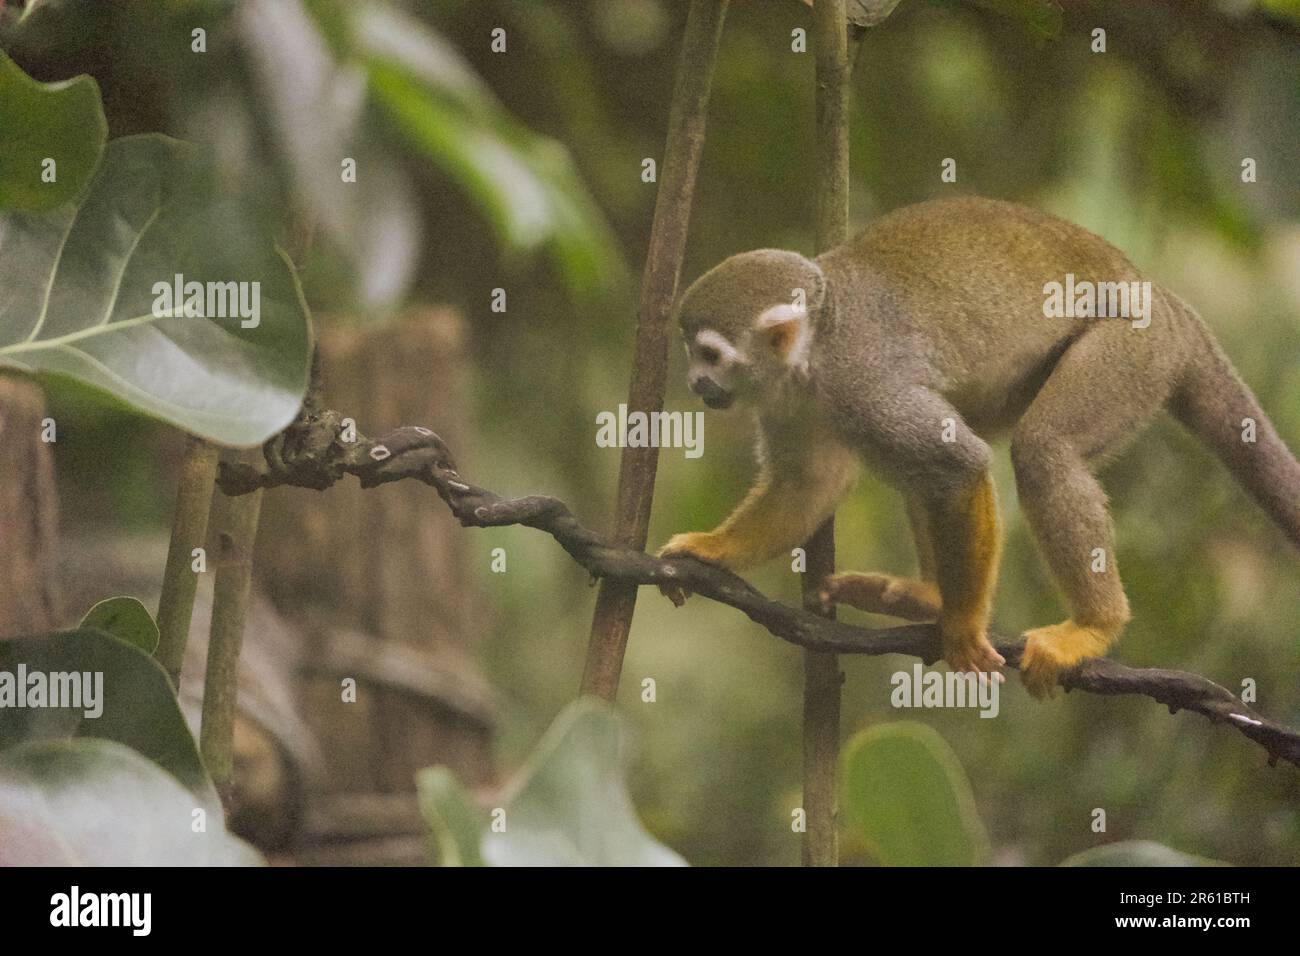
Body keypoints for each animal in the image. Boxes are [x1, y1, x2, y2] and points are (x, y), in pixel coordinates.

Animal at [656, 195, 1300, 697]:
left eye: (709, 353)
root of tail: (1168, 305)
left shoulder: (862, 383)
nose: (696, 383)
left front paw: (965, 627)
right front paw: (710, 549)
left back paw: (1092, 626)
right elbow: (808, 483)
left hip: (1136, 350)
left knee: (1040, 448)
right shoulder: (788, 398)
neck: (813, 352)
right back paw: (927, 596)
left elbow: (958, 463)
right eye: (691, 353)